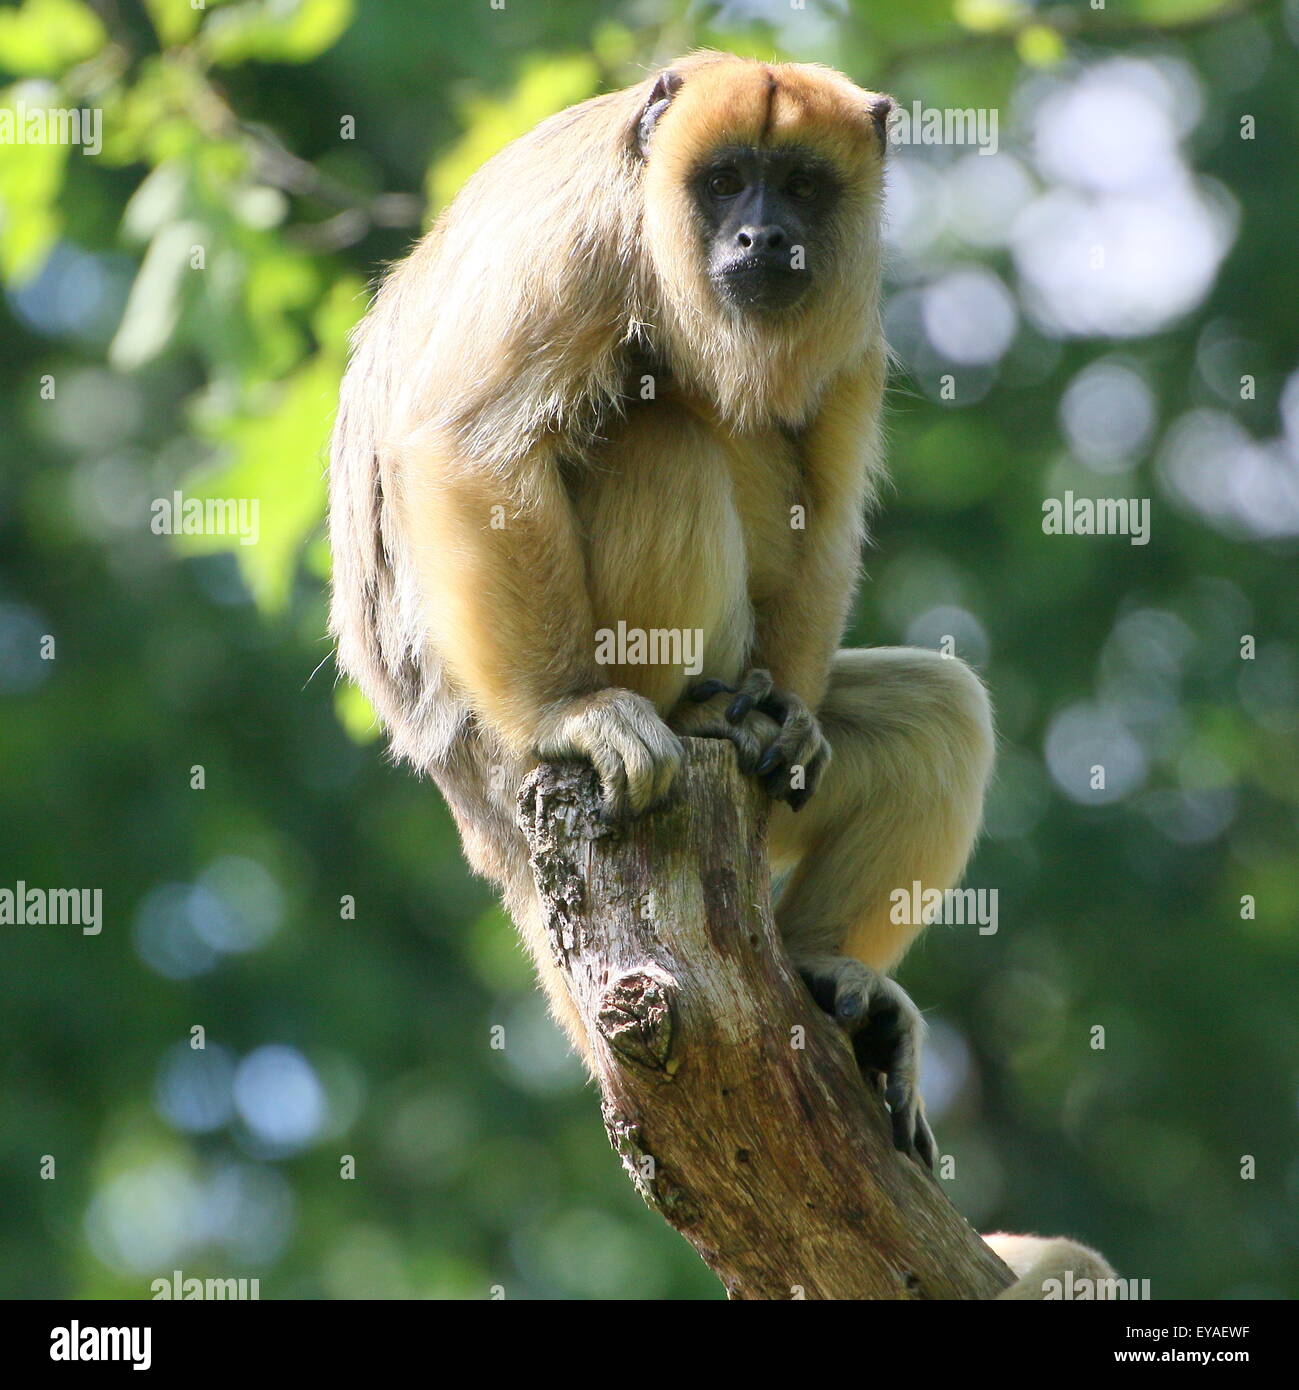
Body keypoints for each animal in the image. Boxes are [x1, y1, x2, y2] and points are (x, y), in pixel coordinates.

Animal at [329, 50, 1113, 1298]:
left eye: (799, 186)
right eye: (726, 181)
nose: (761, 238)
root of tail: (466, 789)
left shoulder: (853, 305)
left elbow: (826, 502)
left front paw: (788, 714)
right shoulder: (569, 240)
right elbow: (469, 448)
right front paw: (576, 712)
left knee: (934, 714)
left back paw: (827, 959)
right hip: (506, 749)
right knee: (652, 431)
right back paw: (666, 705)